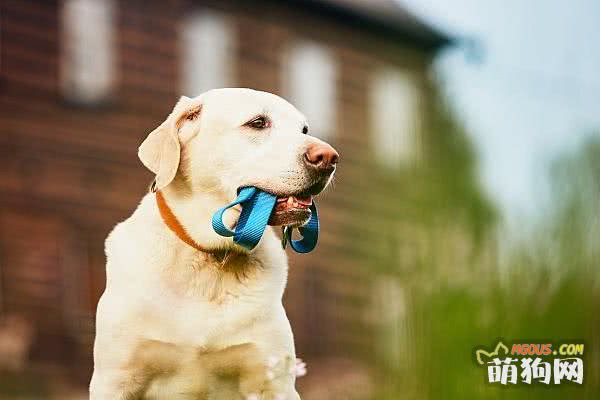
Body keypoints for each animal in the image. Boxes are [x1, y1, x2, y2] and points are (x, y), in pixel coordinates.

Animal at [91, 88, 340, 400]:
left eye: (304, 130)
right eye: (258, 123)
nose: (329, 157)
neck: (213, 257)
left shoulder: (274, 382)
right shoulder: (115, 380)